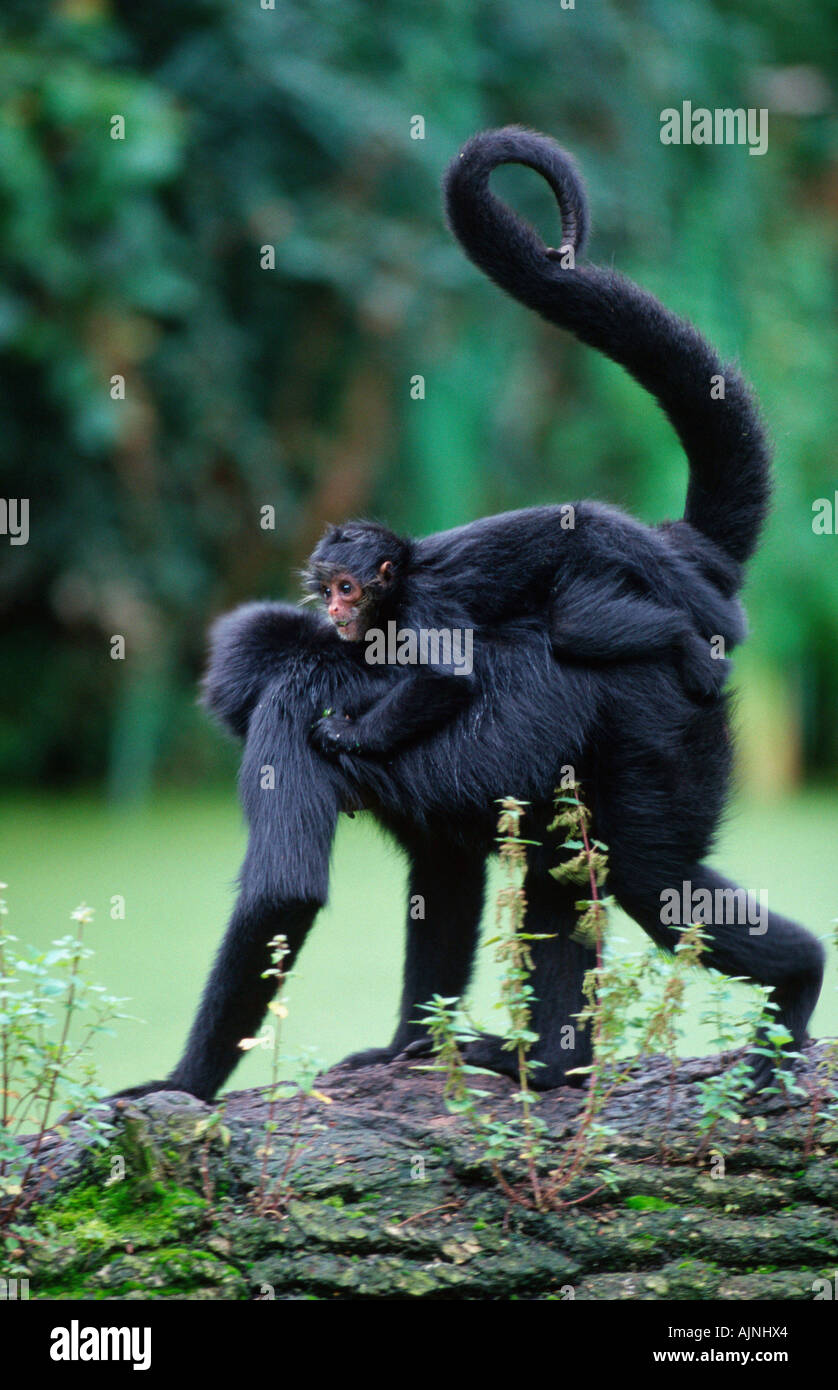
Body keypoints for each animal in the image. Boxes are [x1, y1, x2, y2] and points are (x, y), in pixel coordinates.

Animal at [117, 127, 823, 1105]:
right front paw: (409, 1045)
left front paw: (180, 1085)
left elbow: (282, 897)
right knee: (571, 865)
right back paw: (560, 1067)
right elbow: (444, 878)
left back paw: (797, 980)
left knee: (652, 877)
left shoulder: (286, 717)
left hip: (665, 722)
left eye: (237, 704)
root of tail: (681, 563)